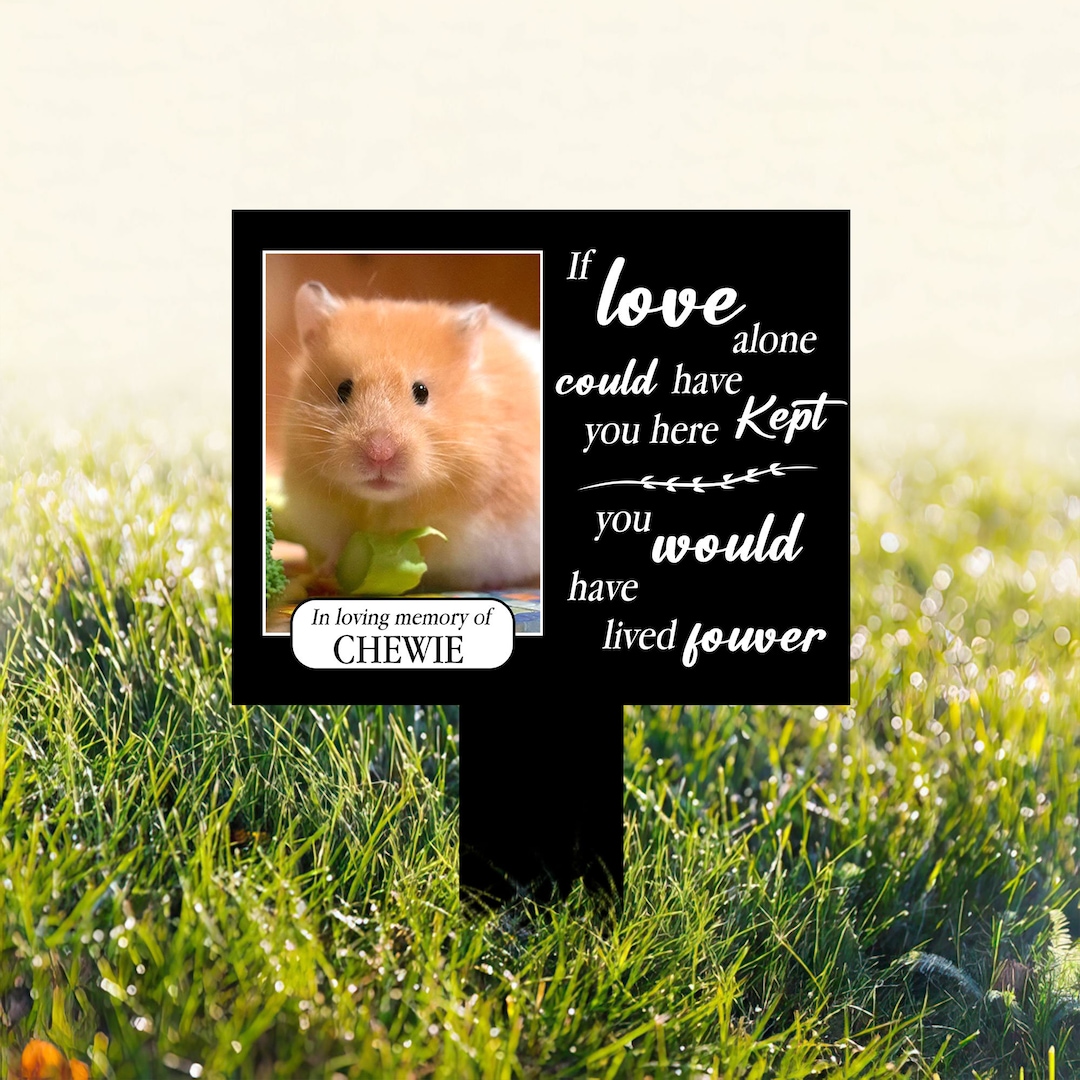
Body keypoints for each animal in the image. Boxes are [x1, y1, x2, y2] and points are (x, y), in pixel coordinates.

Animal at [281, 281, 541, 592]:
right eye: (343, 389)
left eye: (421, 391)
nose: (380, 454)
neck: (384, 505)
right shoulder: (320, 511)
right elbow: (336, 544)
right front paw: (330, 571)